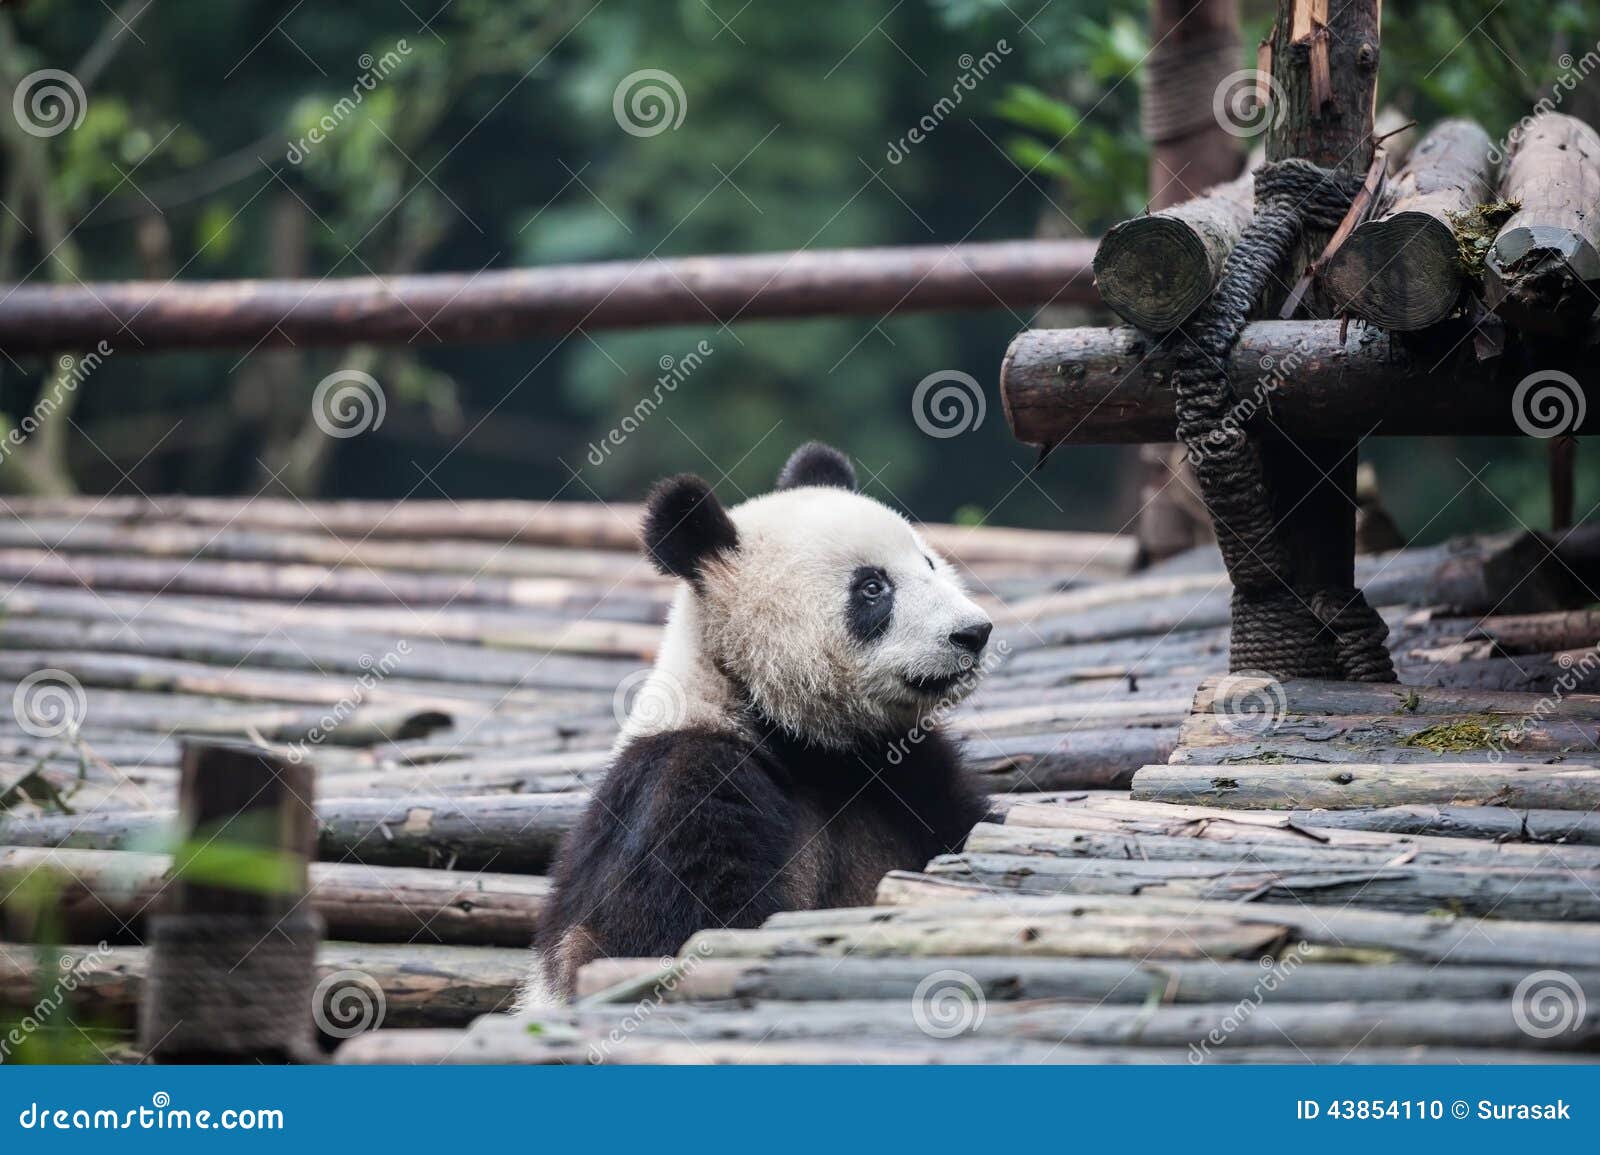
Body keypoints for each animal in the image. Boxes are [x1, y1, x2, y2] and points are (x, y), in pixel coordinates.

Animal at [523, 442, 994, 1002]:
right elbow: (671, 934)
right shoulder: (685, 781)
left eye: (929, 563)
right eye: (873, 587)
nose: (974, 633)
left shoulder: (904, 767)